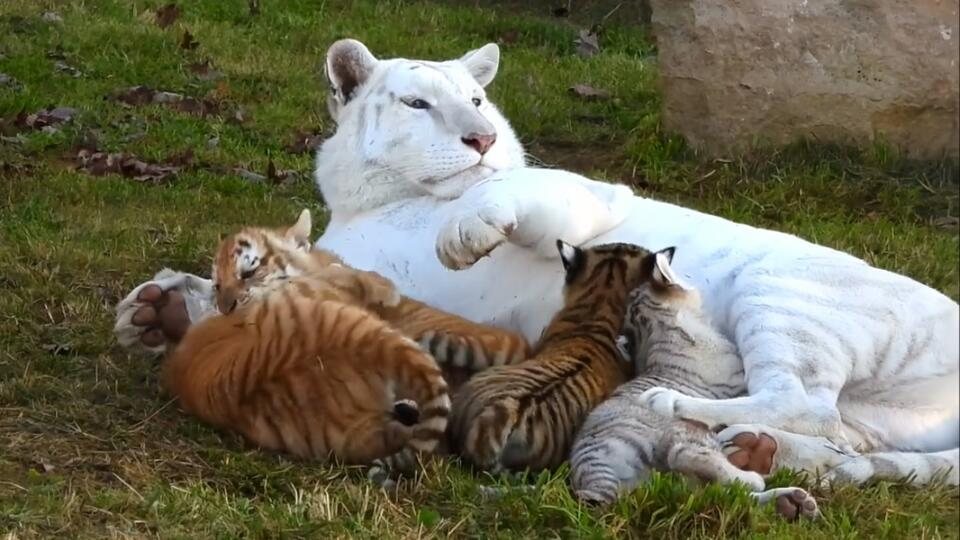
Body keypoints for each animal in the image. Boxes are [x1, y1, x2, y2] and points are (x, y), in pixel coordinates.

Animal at [568, 248, 818, 518]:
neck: (656, 335)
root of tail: (594, 477)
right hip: (673, 434)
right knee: (686, 456)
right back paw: (756, 480)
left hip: (684, 484)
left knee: (724, 494)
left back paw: (789, 502)